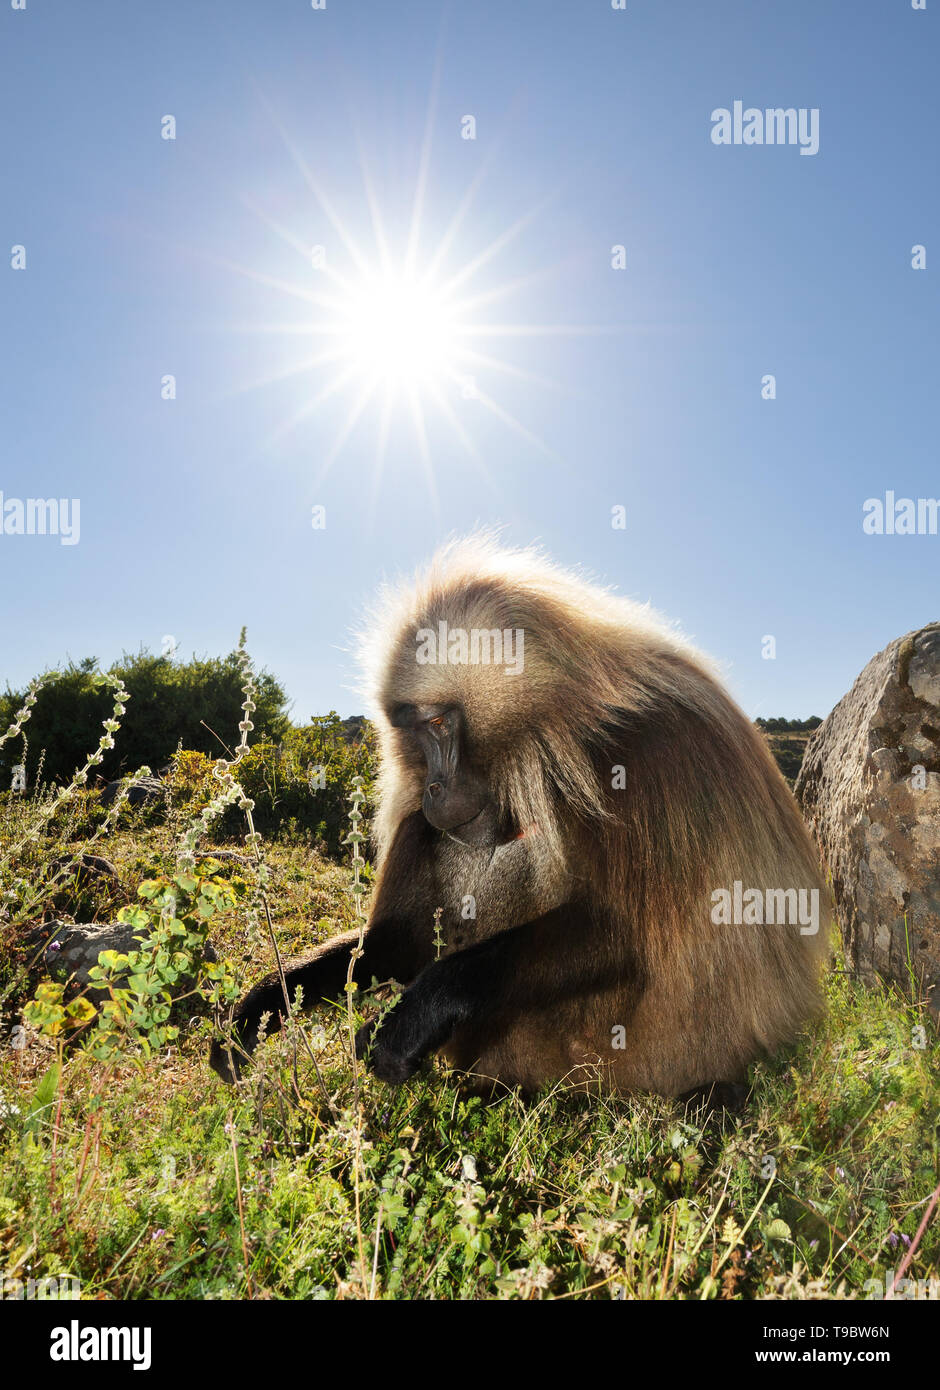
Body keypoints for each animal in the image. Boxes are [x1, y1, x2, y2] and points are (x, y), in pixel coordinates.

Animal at [210, 535, 830, 1099]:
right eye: (411, 730)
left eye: (439, 724)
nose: (432, 787)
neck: (560, 725)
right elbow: (400, 943)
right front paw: (263, 1005)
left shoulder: (643, 755)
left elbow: (630, 940)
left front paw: (417, 1014)